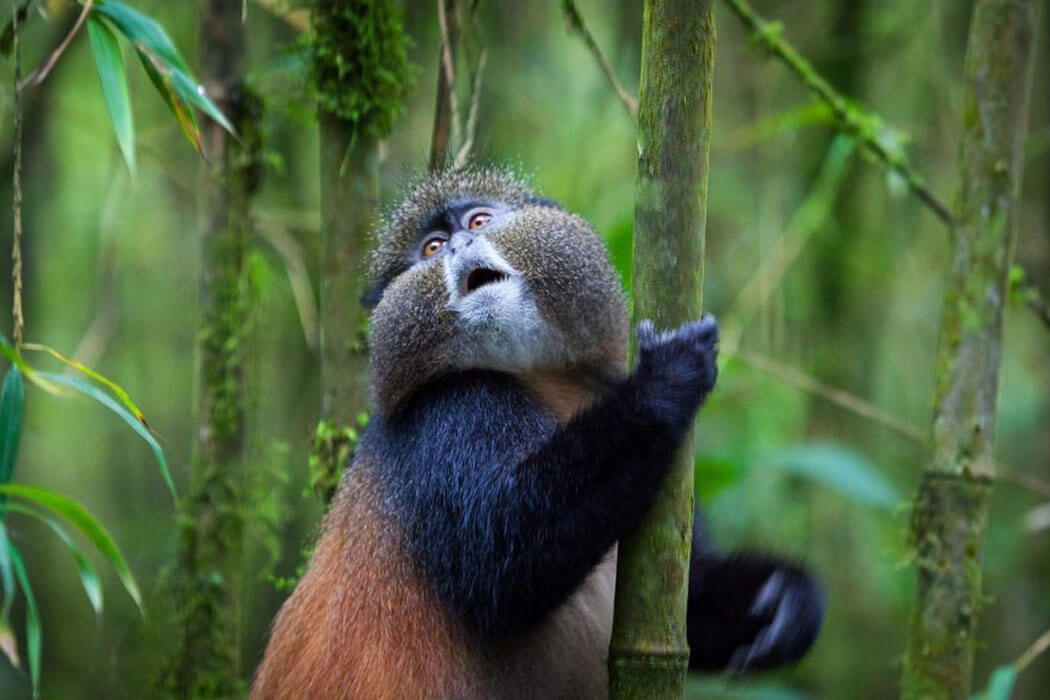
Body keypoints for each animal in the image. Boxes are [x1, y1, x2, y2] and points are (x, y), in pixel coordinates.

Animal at [251, 168, 823, 699]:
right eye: (431, 248)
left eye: (479, 222)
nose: (457, 246)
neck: (543, 380)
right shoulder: (448, 413)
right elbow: (501, 566)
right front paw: (665, 381)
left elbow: (689, 610)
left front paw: (782, 599)